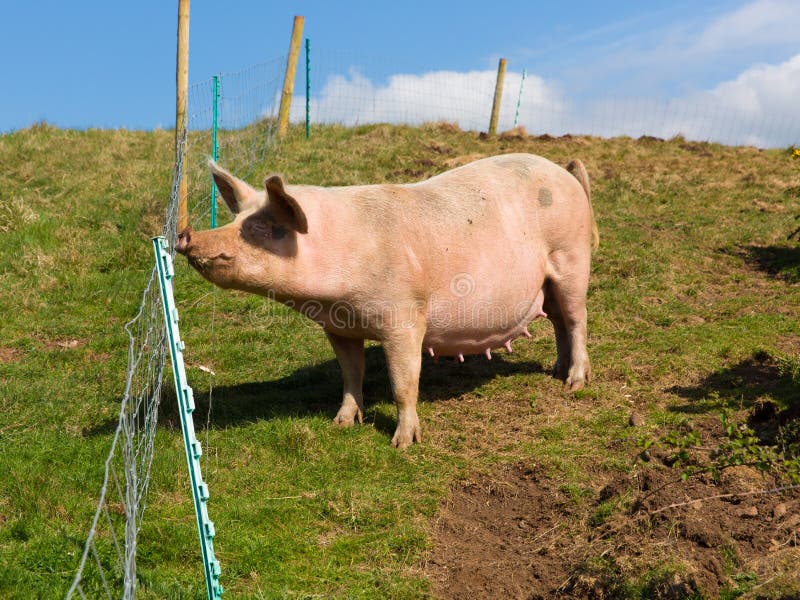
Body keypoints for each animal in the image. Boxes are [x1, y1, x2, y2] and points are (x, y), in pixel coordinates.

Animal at [175, 153, 599, 449]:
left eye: (262, 226)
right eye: (235, 220)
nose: (185, 235)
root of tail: (566, 173)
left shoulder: (405, 318)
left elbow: (403, 383)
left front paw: (403, 444)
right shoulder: (339, 327)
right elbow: (351, 373)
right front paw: (342, 423)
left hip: (572, 257)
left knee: (577, 319)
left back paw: (575, 384)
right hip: (547, 283)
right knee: (558, 321)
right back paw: (557, 371)